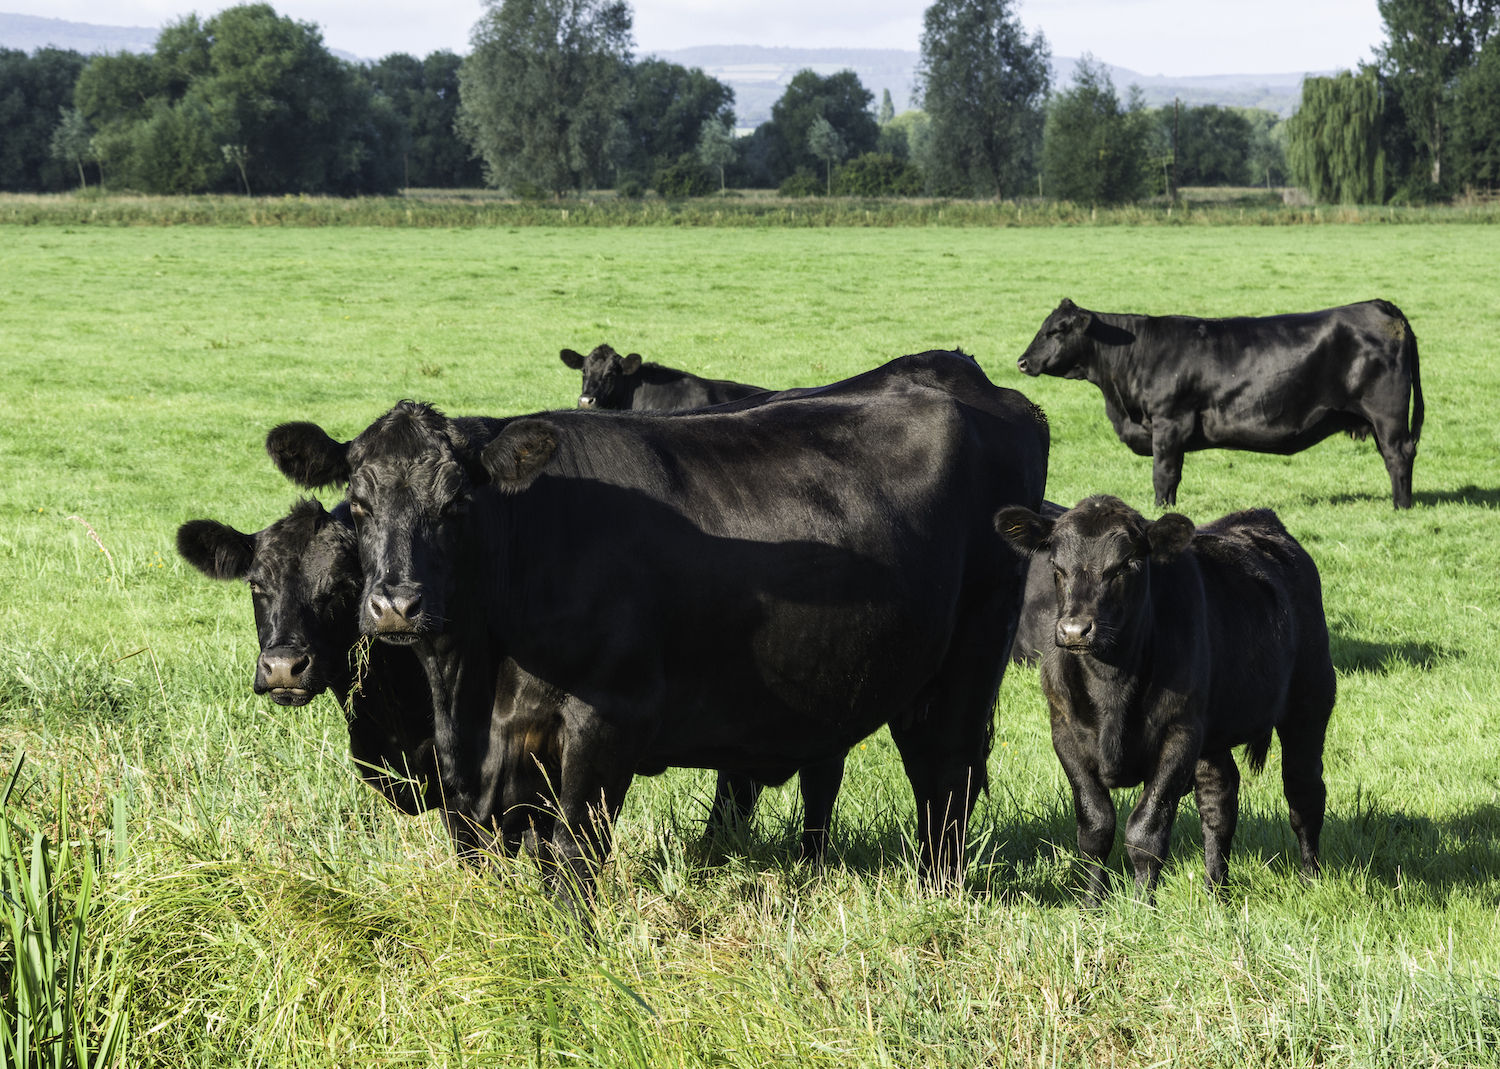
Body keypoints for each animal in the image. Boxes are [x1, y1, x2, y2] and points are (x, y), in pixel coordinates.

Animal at [265, 350, 1050, 905]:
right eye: (358, 503)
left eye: (457, 502)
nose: (397, 605)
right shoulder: (483, 769)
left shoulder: (605, 723)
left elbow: (572, 860)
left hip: (970, 656)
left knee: (943, 775)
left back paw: (936, 897)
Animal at [995, 496, 1335, 906]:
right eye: (1056, 567)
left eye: (1126, 564)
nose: (1075, 630)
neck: (1111, 686)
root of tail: (1260, 519)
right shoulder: (1064, 732)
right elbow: (1095, 827)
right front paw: (1091, 906)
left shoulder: (1179, 734)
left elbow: (1146, 830)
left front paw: (1142, 907)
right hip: (1213, 735)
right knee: (1219, 801)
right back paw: (1216, 891)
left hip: (1310, 701)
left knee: (1304, 792)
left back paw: (1310, 881)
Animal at [1016, 299, 1423, 508]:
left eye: (1057, 330)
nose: (1022, 361)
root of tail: (1381, 306)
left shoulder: (1169, 422)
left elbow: (1164, 474)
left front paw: (1160, 510)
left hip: (1387, 417)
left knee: (1398, 456)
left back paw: (1401, 506)